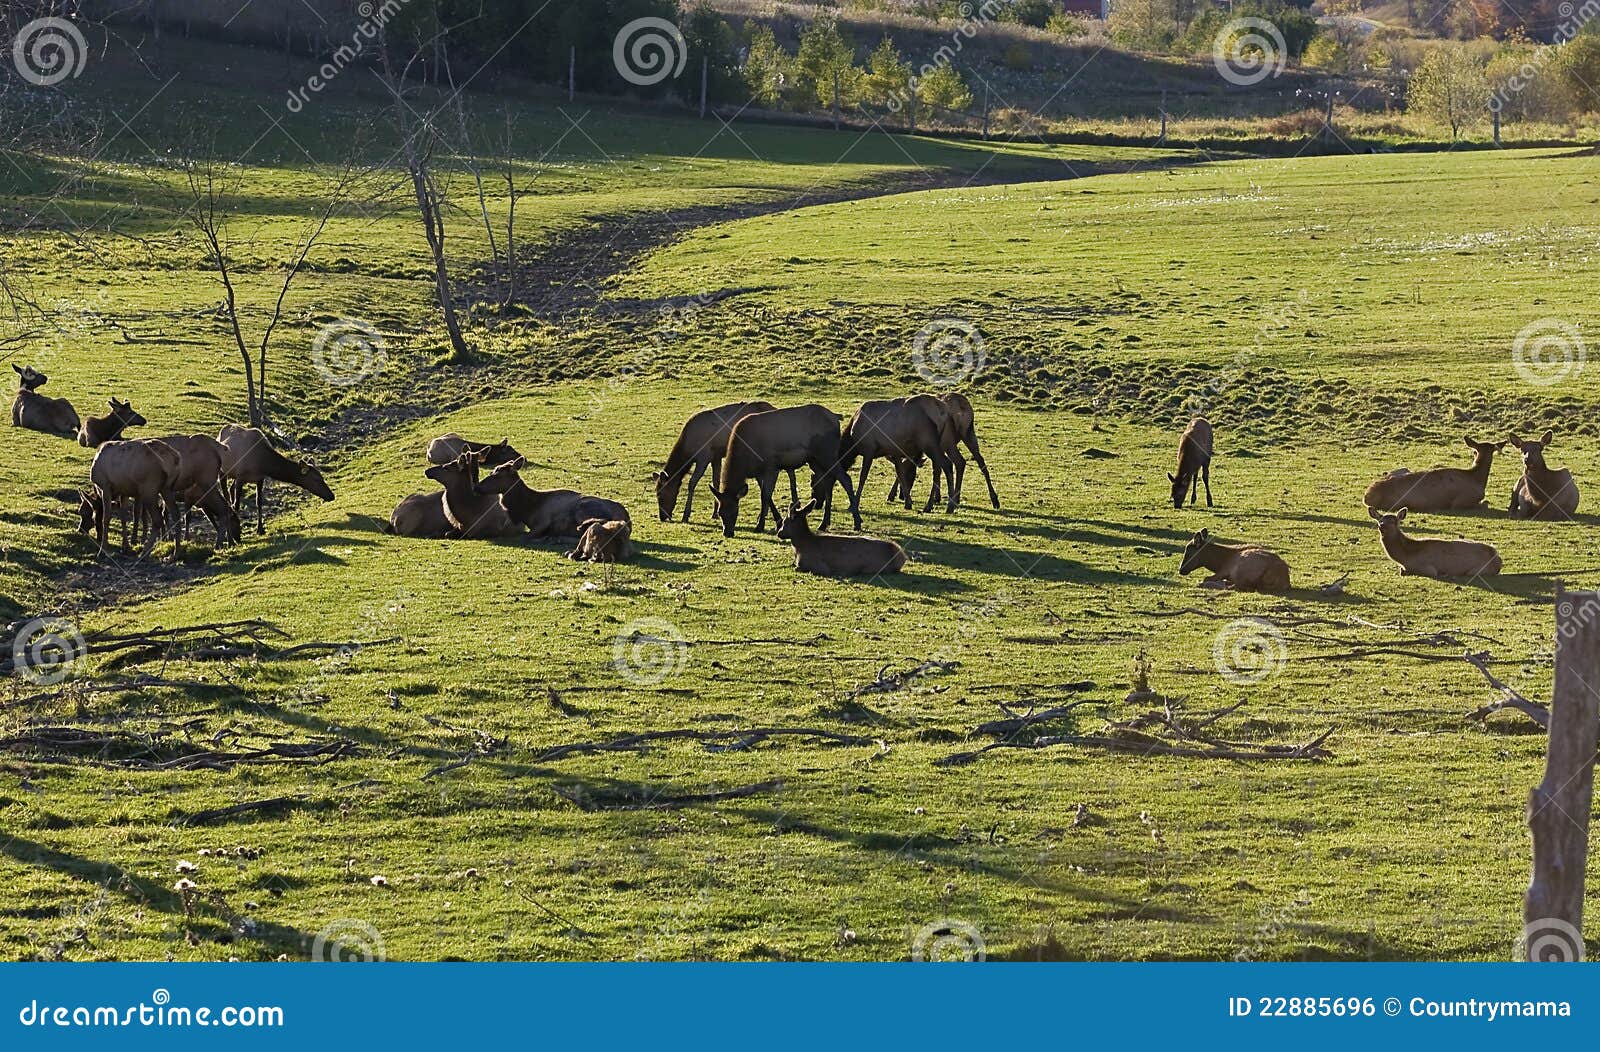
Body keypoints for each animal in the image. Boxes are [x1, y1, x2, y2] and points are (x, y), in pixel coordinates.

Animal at [477, 458, 630, 539]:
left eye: (497, 474)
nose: (476, 486)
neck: (527, 509)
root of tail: (627, 517)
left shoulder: (542, 522)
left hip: (584, 506)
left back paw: (581, 527)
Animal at [654, 400, 797, 523]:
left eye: (660, 494)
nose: (662, 517)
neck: (688, 450)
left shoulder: (704, 456)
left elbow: (692, 483)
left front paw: (685, 515)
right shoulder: (715, 456)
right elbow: (716, 482)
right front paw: (715, 513)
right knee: (789, 471)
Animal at [708, 404, 859, 537]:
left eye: (735, 511)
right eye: (720, 513)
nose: (727, 533)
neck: (744, 462)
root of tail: (836, 419)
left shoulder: (771, 467)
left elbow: (765, 496)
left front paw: (761, 525)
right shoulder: (758, 472)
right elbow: (767, 496)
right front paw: (776, 521)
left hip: (827, 453)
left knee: (846, 479)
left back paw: (857, 522)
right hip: (814, 460)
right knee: (828, 481)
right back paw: (824, 523)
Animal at [776, 499, 905, 578]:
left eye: (784, 522)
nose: (779, 533)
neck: (800, 547)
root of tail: (900, 556)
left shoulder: (819, 567)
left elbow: (797, 568)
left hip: (871, 568)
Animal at [1363, 438, 1503, 515]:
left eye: (1475, 452)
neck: (1477, 478)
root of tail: (1367, 496)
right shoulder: (1460, 502)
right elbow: (1484, 503)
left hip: (1402, 470)